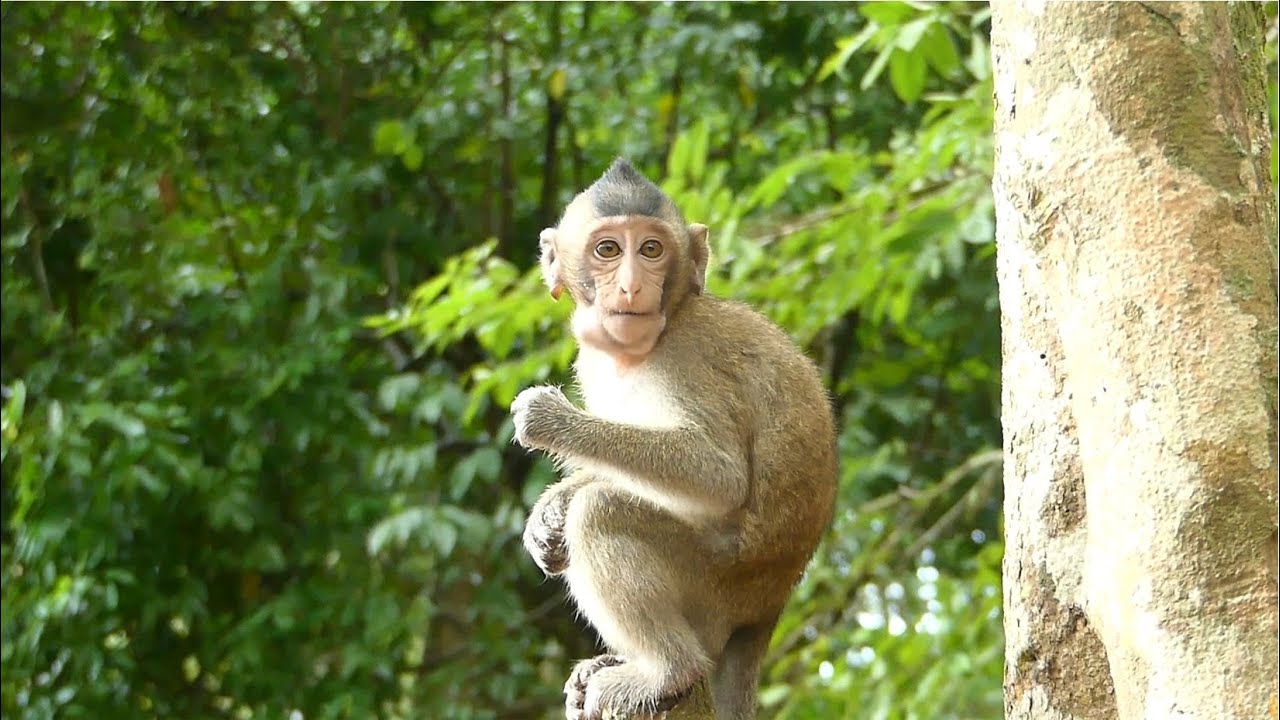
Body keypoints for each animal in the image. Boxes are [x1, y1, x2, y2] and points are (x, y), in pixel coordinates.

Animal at [512, 158, 837, 720]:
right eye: (607, 250)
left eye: (651, 250)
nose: (630, 287)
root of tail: (767, 611)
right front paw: (549, 509)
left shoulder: (686, 356)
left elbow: (720, 475)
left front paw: (549, 421)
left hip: (717, 582)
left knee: (602, 514)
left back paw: (668, 672)